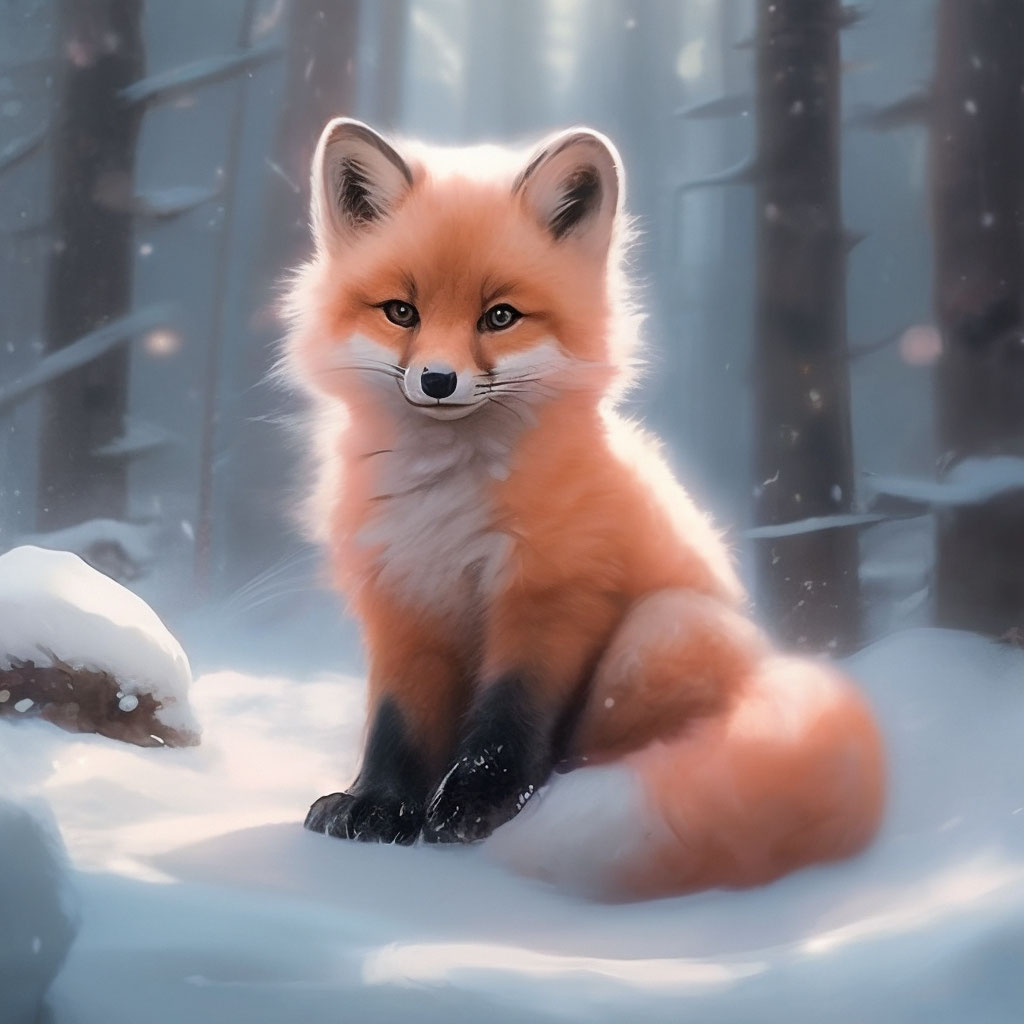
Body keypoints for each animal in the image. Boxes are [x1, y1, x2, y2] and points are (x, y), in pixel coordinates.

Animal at [285, 118, 884, 900]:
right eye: (401, 311)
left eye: (500, 316)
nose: (438, 380)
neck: (447, 505)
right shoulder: (402, 599)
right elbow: (397, 723)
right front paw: (379, 805)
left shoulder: (551, 595)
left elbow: (506, 727)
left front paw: (472, 809)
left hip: (665, 630)